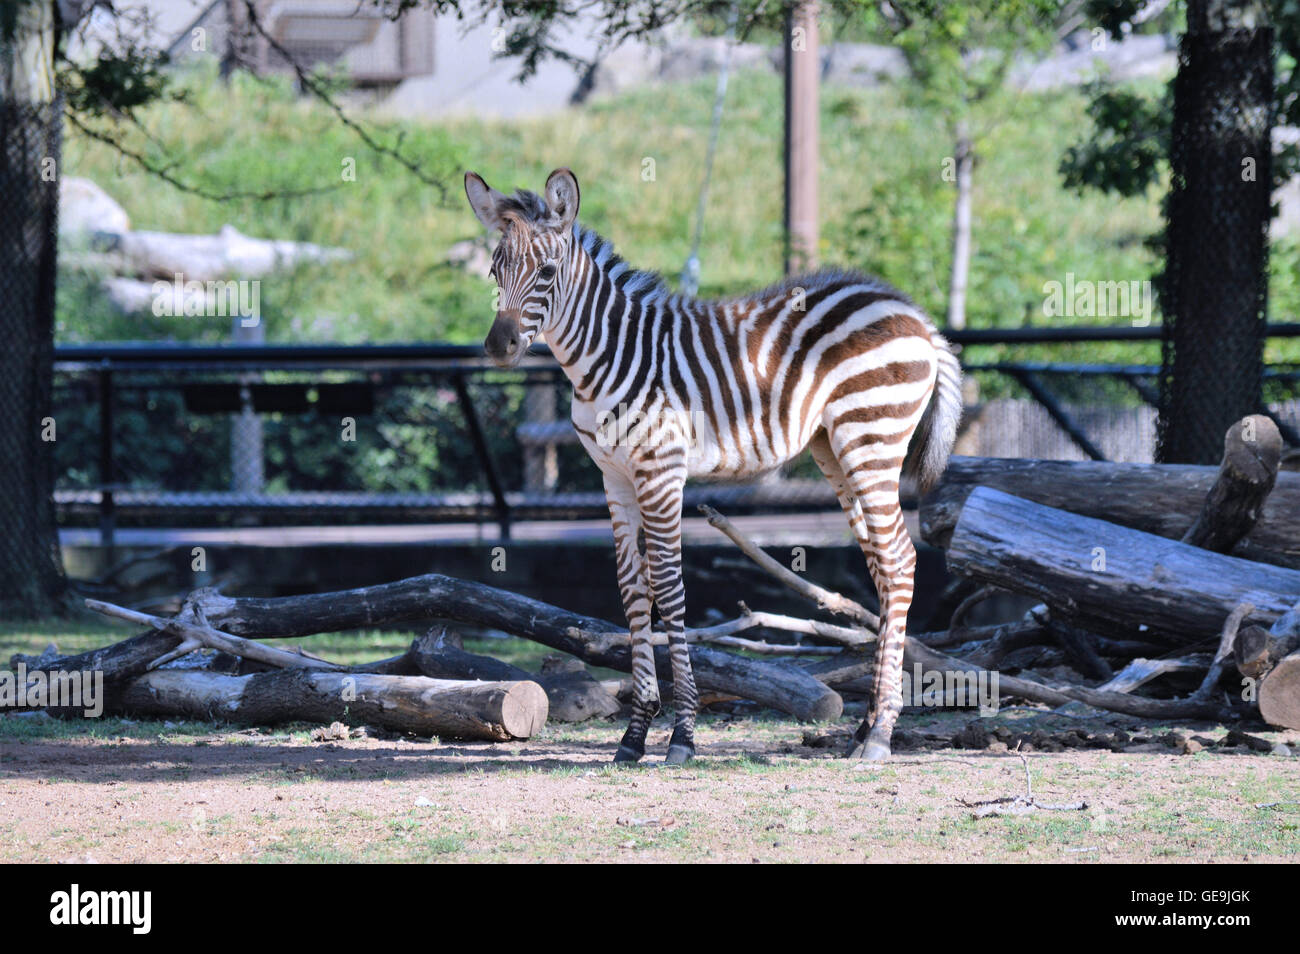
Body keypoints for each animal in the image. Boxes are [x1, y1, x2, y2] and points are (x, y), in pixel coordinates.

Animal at [464, 167, 962, 764]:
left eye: (547, 271)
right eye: (494, 270)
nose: (499, 346)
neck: (603, 359)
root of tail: (914, 315)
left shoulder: (661, 472)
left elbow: (669, 589)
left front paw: (682, 735)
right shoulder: (615, 477)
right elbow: (633, 593)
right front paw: (634, 736)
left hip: (872, 440)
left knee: (901, 559)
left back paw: (882, 733)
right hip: (834, 447)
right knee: (882, 565)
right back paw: (864, 729)